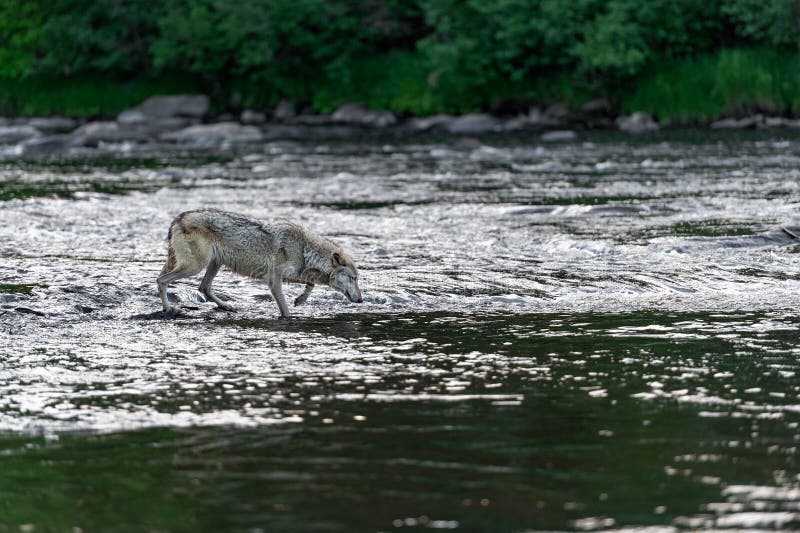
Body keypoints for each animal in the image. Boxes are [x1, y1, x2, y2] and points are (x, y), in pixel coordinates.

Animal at [157, 209, 362, 317]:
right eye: (353, 279)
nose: (361, 299)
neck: (304, 249)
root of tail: (179, 218)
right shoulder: (274, 280)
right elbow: (285, 309)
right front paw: (291, 314)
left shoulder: (292, 275)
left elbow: (311, 283)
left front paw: (300, 300)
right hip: (195, 267)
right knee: (162, 280)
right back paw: (168, 308)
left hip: (214, 264)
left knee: (203, 287)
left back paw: (226, 306)